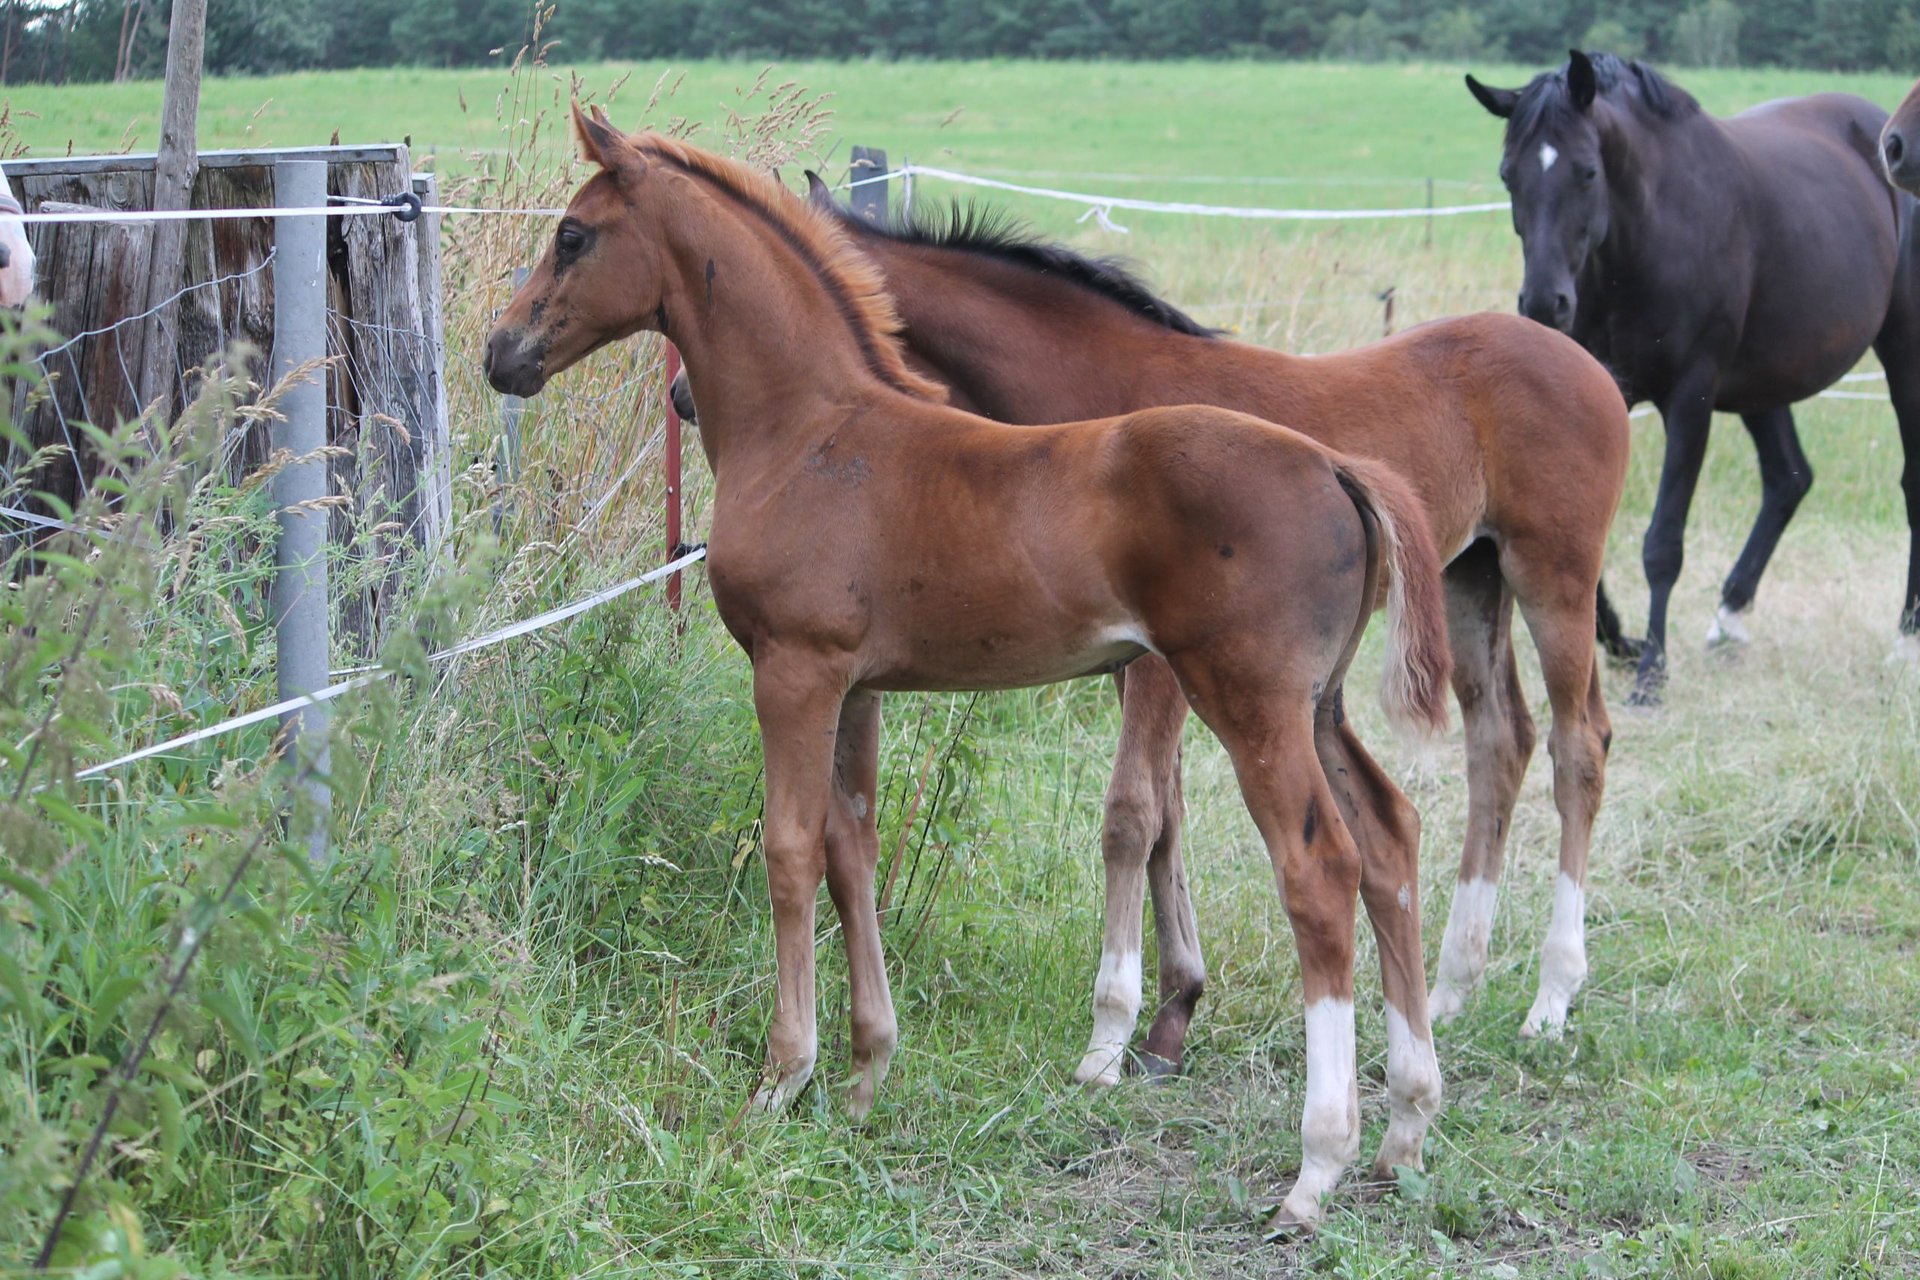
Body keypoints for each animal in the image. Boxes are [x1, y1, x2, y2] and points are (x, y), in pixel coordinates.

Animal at [488, 108, 1454, 1233]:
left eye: (572, 235)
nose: (501, 352)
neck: (811, 432)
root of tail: (1336, 466)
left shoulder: (793, 671)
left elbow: (786, 850)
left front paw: (781, 1078)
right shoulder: (856, 686)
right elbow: (850, 848)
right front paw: (866, 1073)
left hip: (1250, 699)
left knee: (1320, 870)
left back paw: (1316, 1167)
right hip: (1320, 702)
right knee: (1389, 839)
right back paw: (1404, 1129)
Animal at [676, 174, 1628, 1049]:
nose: (684, 397)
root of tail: (1589, 365)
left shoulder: (1159, 666)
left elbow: (1132, 813)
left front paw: (1122, 1026)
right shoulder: (1138, 657)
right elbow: (1168, 818)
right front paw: (1175, 1010)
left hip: (1553, 577)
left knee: (1579, 744)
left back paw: (1551, 997)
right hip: (1472, 580)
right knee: (1499, 741)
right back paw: (1454, 987)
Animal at [1467, 51, 1920, 698]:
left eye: (1586, 172)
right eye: (1509, 176)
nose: (1544, 304)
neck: (1645, 238)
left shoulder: (1689, 400)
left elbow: (1663, 541)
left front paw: (1652, 670)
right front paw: (1620, 643)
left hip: (1903, 353)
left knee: (1906, 484)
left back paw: (1905, 639)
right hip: (1763, 384)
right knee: (1789, 478)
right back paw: (1729, 618)